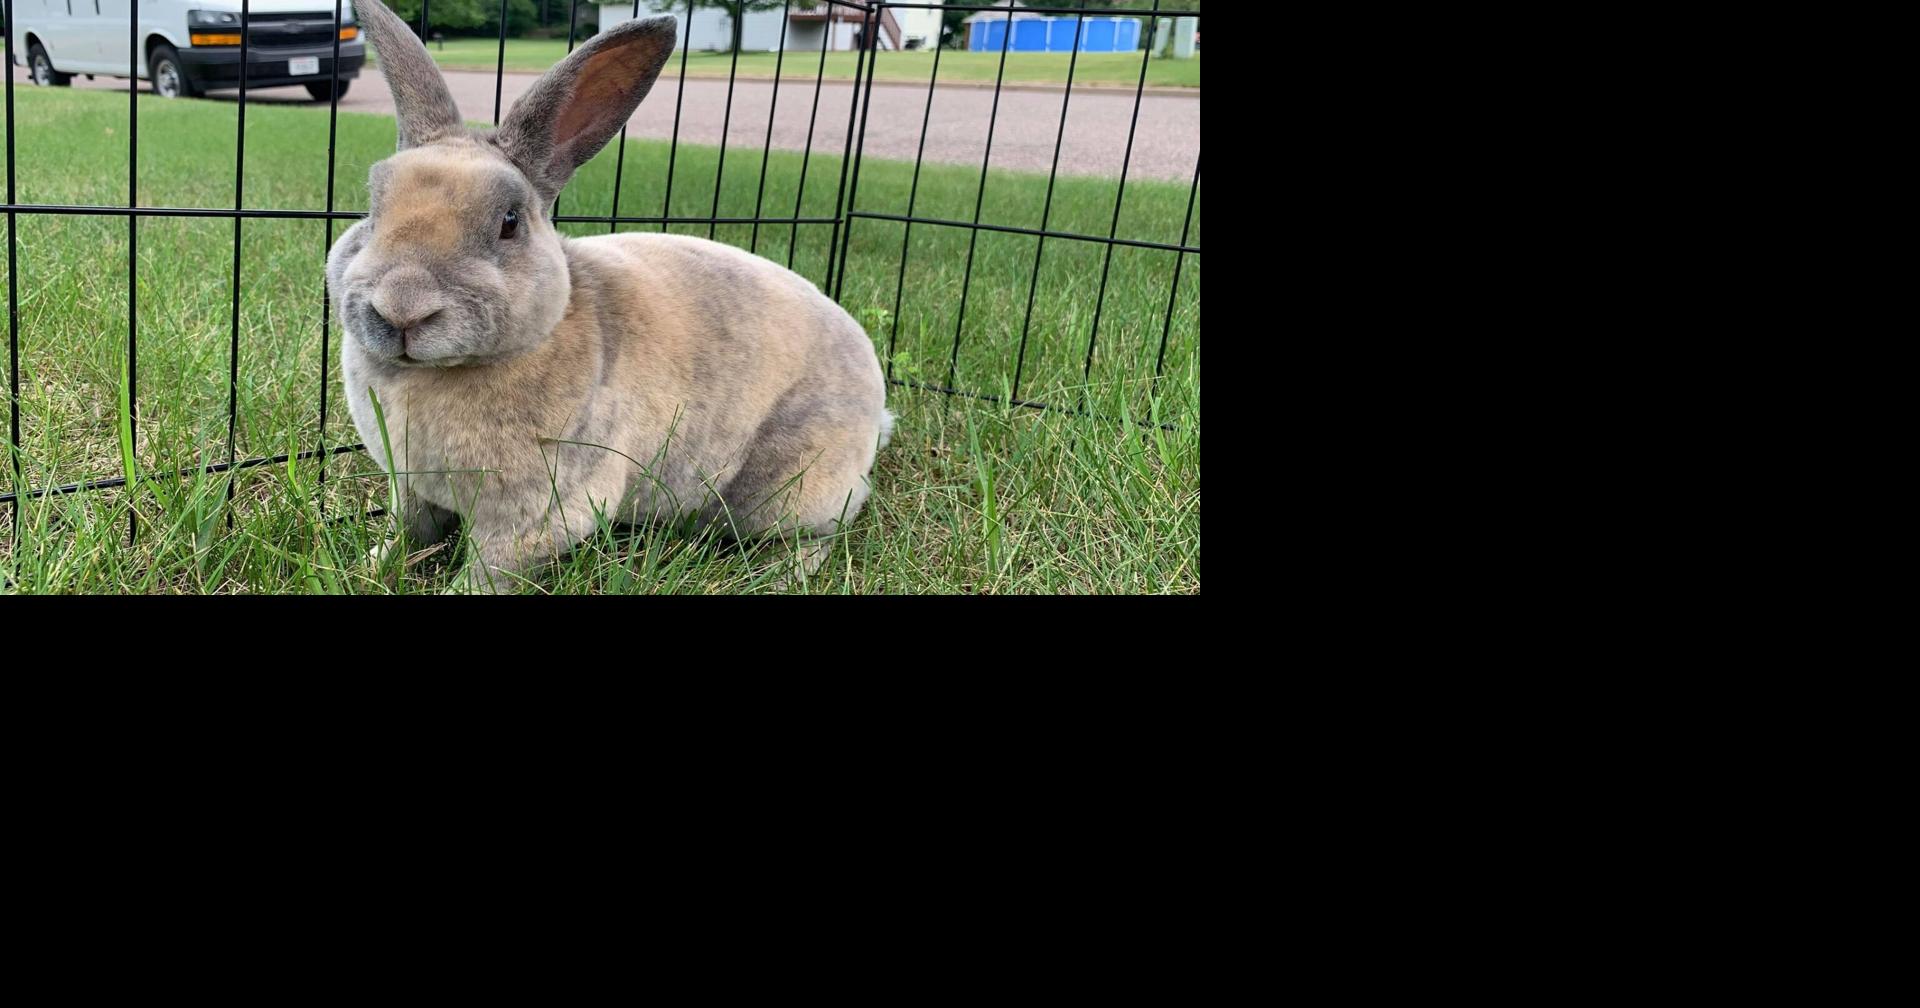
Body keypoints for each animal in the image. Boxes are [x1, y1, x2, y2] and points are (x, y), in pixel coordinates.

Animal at [328, 1, 892, 593]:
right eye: (372, 208)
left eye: (509, 222)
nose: (400, 309)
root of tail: (876, 400)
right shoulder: (411, 489)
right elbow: (409, 531)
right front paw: (374, 563)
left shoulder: (535, 516)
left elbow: (488, 571)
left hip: (791, 489)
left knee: (817, 536)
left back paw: (779, 573)